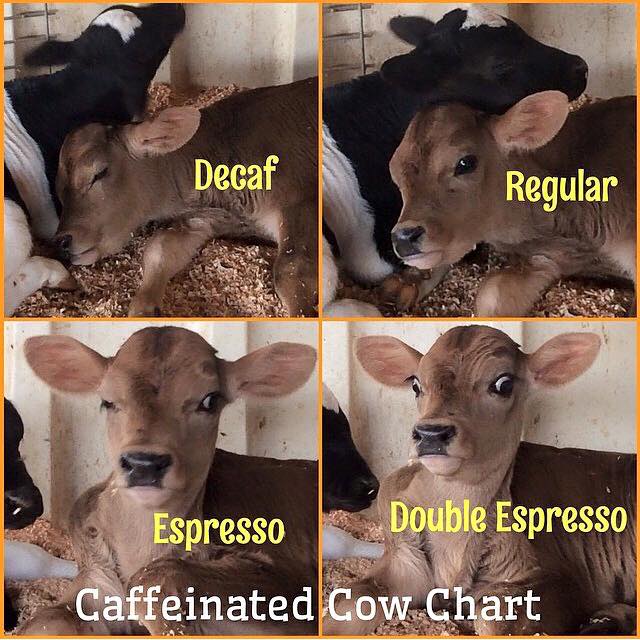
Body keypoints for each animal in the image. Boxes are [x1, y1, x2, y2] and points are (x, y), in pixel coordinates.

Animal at [18, 326, 318, 635]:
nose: (144, 463)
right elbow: (46, 620)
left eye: (210, 400)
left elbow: (155, 578)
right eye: (107, 401)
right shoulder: (95, 579)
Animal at [54, 78, 318, 317]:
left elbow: (293, 268)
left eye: (99, 173)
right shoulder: (202, 218)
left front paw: (304, 314)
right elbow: (158, 250)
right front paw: (144, 307)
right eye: (58, 190)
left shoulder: (297, 198)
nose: (61, 241)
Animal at [324, 325, 635, 635]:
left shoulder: (565, 583)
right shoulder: (405, 561)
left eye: (504, 384)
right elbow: (349, 602)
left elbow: (493, 618)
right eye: (415, 385)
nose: (430, 434)